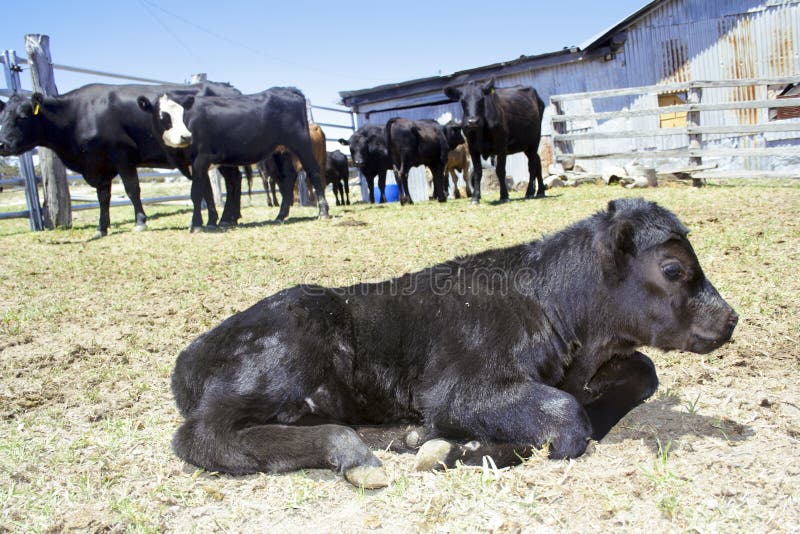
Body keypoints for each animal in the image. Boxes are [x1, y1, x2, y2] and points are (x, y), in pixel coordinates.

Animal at [0, 82, 244, 237]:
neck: (79, 113)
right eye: (2, 117)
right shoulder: (99, 164)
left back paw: (227, 217)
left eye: (22, 116)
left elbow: (131, 189)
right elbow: (103, 197)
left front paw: (140, 221)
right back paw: (229, 217)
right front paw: (101, 227)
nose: (2, 144)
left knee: (232, 181)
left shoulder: (121, 154)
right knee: (233, 180)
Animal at [137, 87, 329, 229]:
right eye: (163, 115)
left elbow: (196, 193)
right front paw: (211, 222)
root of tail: (288, 90)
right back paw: (281, 215)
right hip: (281, 152)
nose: (186, 137)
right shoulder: (197, 165)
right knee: (288, 179)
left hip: (301, 144)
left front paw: (196, 224)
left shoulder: (201, 158)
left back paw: (323, 212)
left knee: (313, 172)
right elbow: (207, 193)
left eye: (182, 113)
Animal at [168, 198, 738, 488]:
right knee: (203, 434)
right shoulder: (460, 388)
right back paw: (350, 451)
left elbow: (640, 372)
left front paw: (453, 447)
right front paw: (463, 451)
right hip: (288, 347)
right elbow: (568, 417)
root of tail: (190, 353)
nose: (730, 319)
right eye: (673, 268)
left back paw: (398, 437)